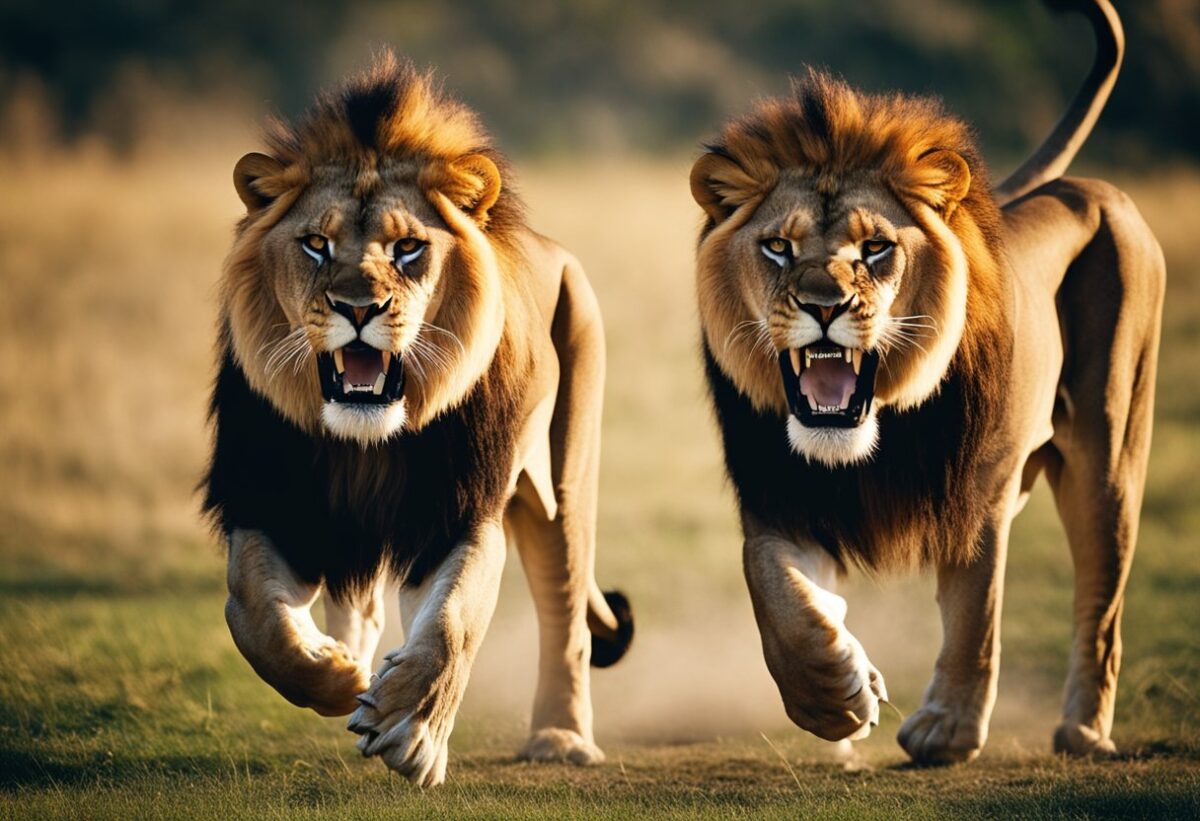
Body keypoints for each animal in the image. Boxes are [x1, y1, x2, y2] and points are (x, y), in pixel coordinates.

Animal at [201, 53, 633, 787]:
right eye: (314, 244)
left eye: (407, 248)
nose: (358, 307)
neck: (364, 442)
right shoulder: (271, 500)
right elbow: (253, 611)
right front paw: (337, 677)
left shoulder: (459, 508)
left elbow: (453, 622)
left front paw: (412, 731)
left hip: (565, 482)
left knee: (567, 617)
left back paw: (561, 737)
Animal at [689, 0, 1162, 762]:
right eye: (778, 246)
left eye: (876, 247)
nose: (825, 306)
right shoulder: (780, 496)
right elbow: (775, 595)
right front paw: (836, 693)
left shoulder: (981, 492)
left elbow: (975, 609)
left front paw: (947, 726)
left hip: (1109, 457)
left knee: (1101, 602)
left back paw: (1085, 731)